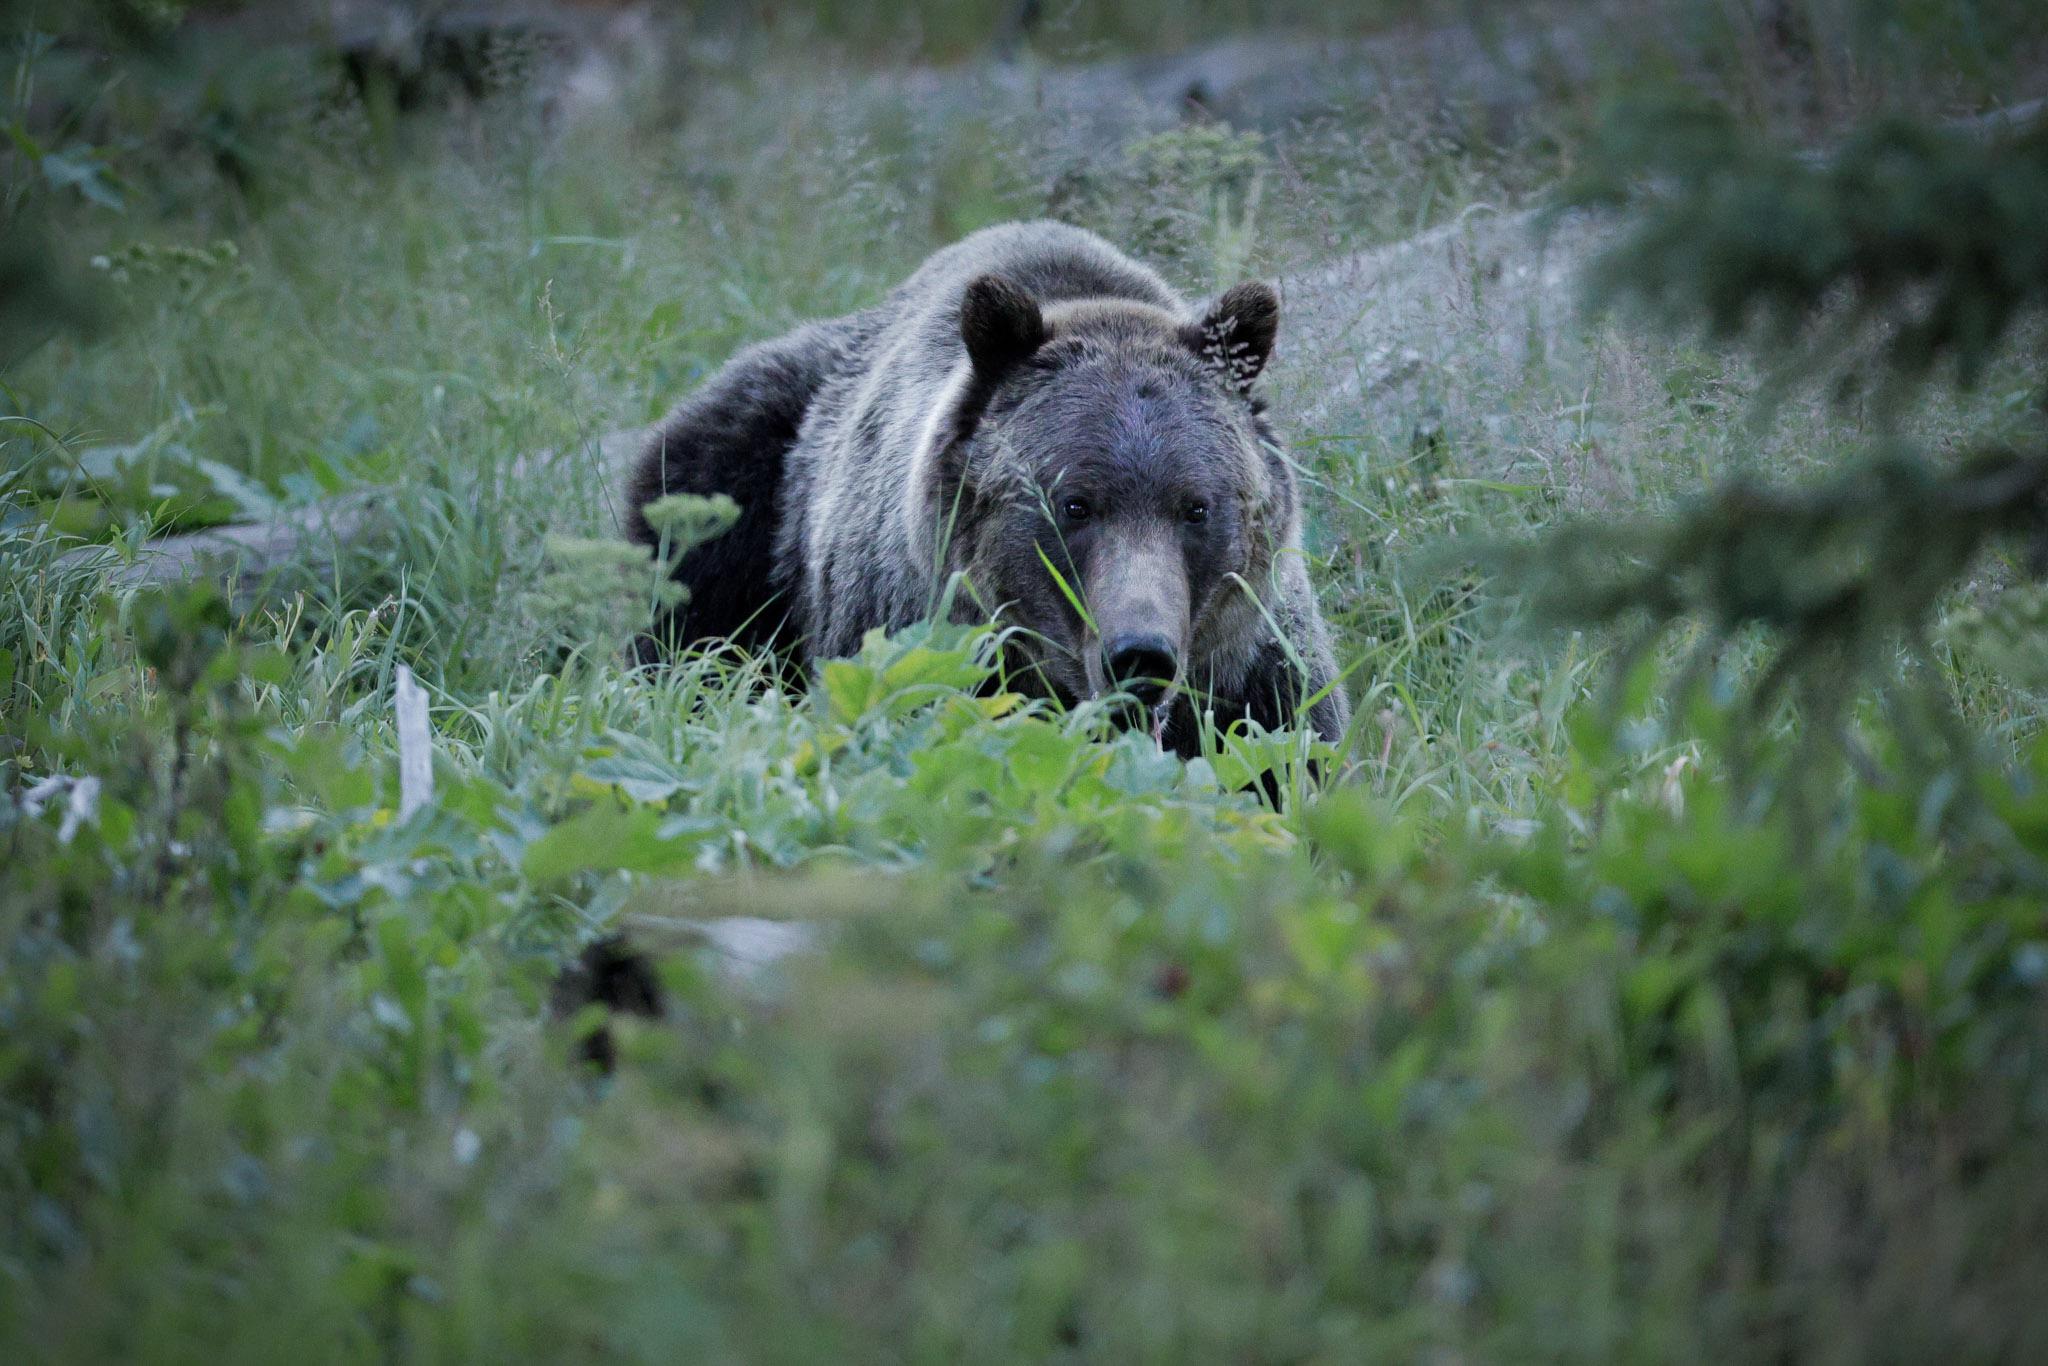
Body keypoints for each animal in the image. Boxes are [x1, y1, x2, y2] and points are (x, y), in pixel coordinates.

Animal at [625, 220, 1349, 757]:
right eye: (1074, 504)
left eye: (1196, 506)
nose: (1140, 655)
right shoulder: (912, 637)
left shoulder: (1255, 667)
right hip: (746, 477)